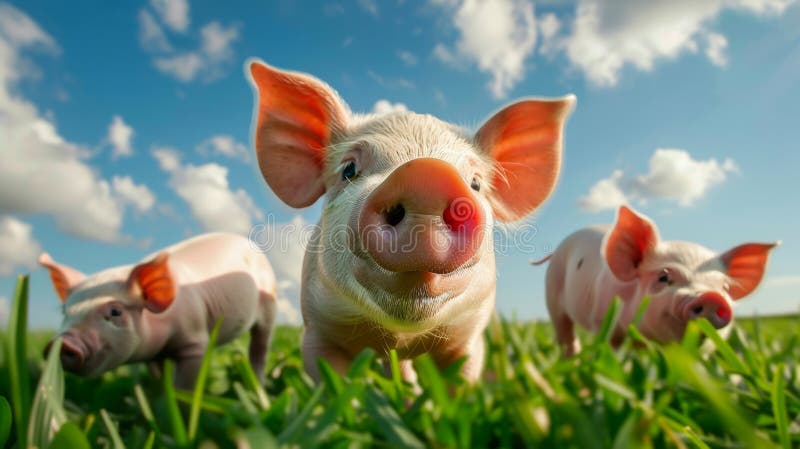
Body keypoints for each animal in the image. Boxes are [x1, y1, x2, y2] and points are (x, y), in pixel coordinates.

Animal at [40, 232, 277, 388]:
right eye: (65, 311)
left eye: (115, 312)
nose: (61, 342)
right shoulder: (152, 355)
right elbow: (159, 376)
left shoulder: (195, 339)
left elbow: (187, 386)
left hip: (269, 304)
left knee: (261, 345)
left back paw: (259, 385)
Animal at [247, 60, 575, 382]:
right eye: (349, 170)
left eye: (476, 183)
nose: (426, 175)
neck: (400, 334)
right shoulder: (317, 330)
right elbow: (332, 381)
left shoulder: (468, 338)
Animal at [533, 205, 778, 355]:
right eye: (664, 277)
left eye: (725, 287)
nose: (711, 297)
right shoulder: (602, 320)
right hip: (552, 294)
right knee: (565, 333)